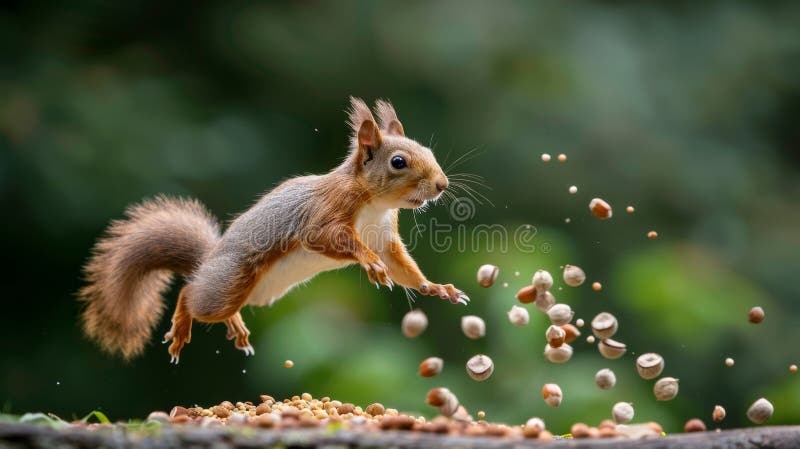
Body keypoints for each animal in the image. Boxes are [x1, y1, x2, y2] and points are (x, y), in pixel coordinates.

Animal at [79, 97, 469, 364]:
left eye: (427, 149)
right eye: (398, 162)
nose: (442, 185)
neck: (376, 204)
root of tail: (207, 261)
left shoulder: (386, 236)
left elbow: (403, 267)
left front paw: (436, 288)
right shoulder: (325, 212)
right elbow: (327, 238)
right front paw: (368, 262)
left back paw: (236, 327)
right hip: (229, 283)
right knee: (191, 295)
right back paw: (181, 328)